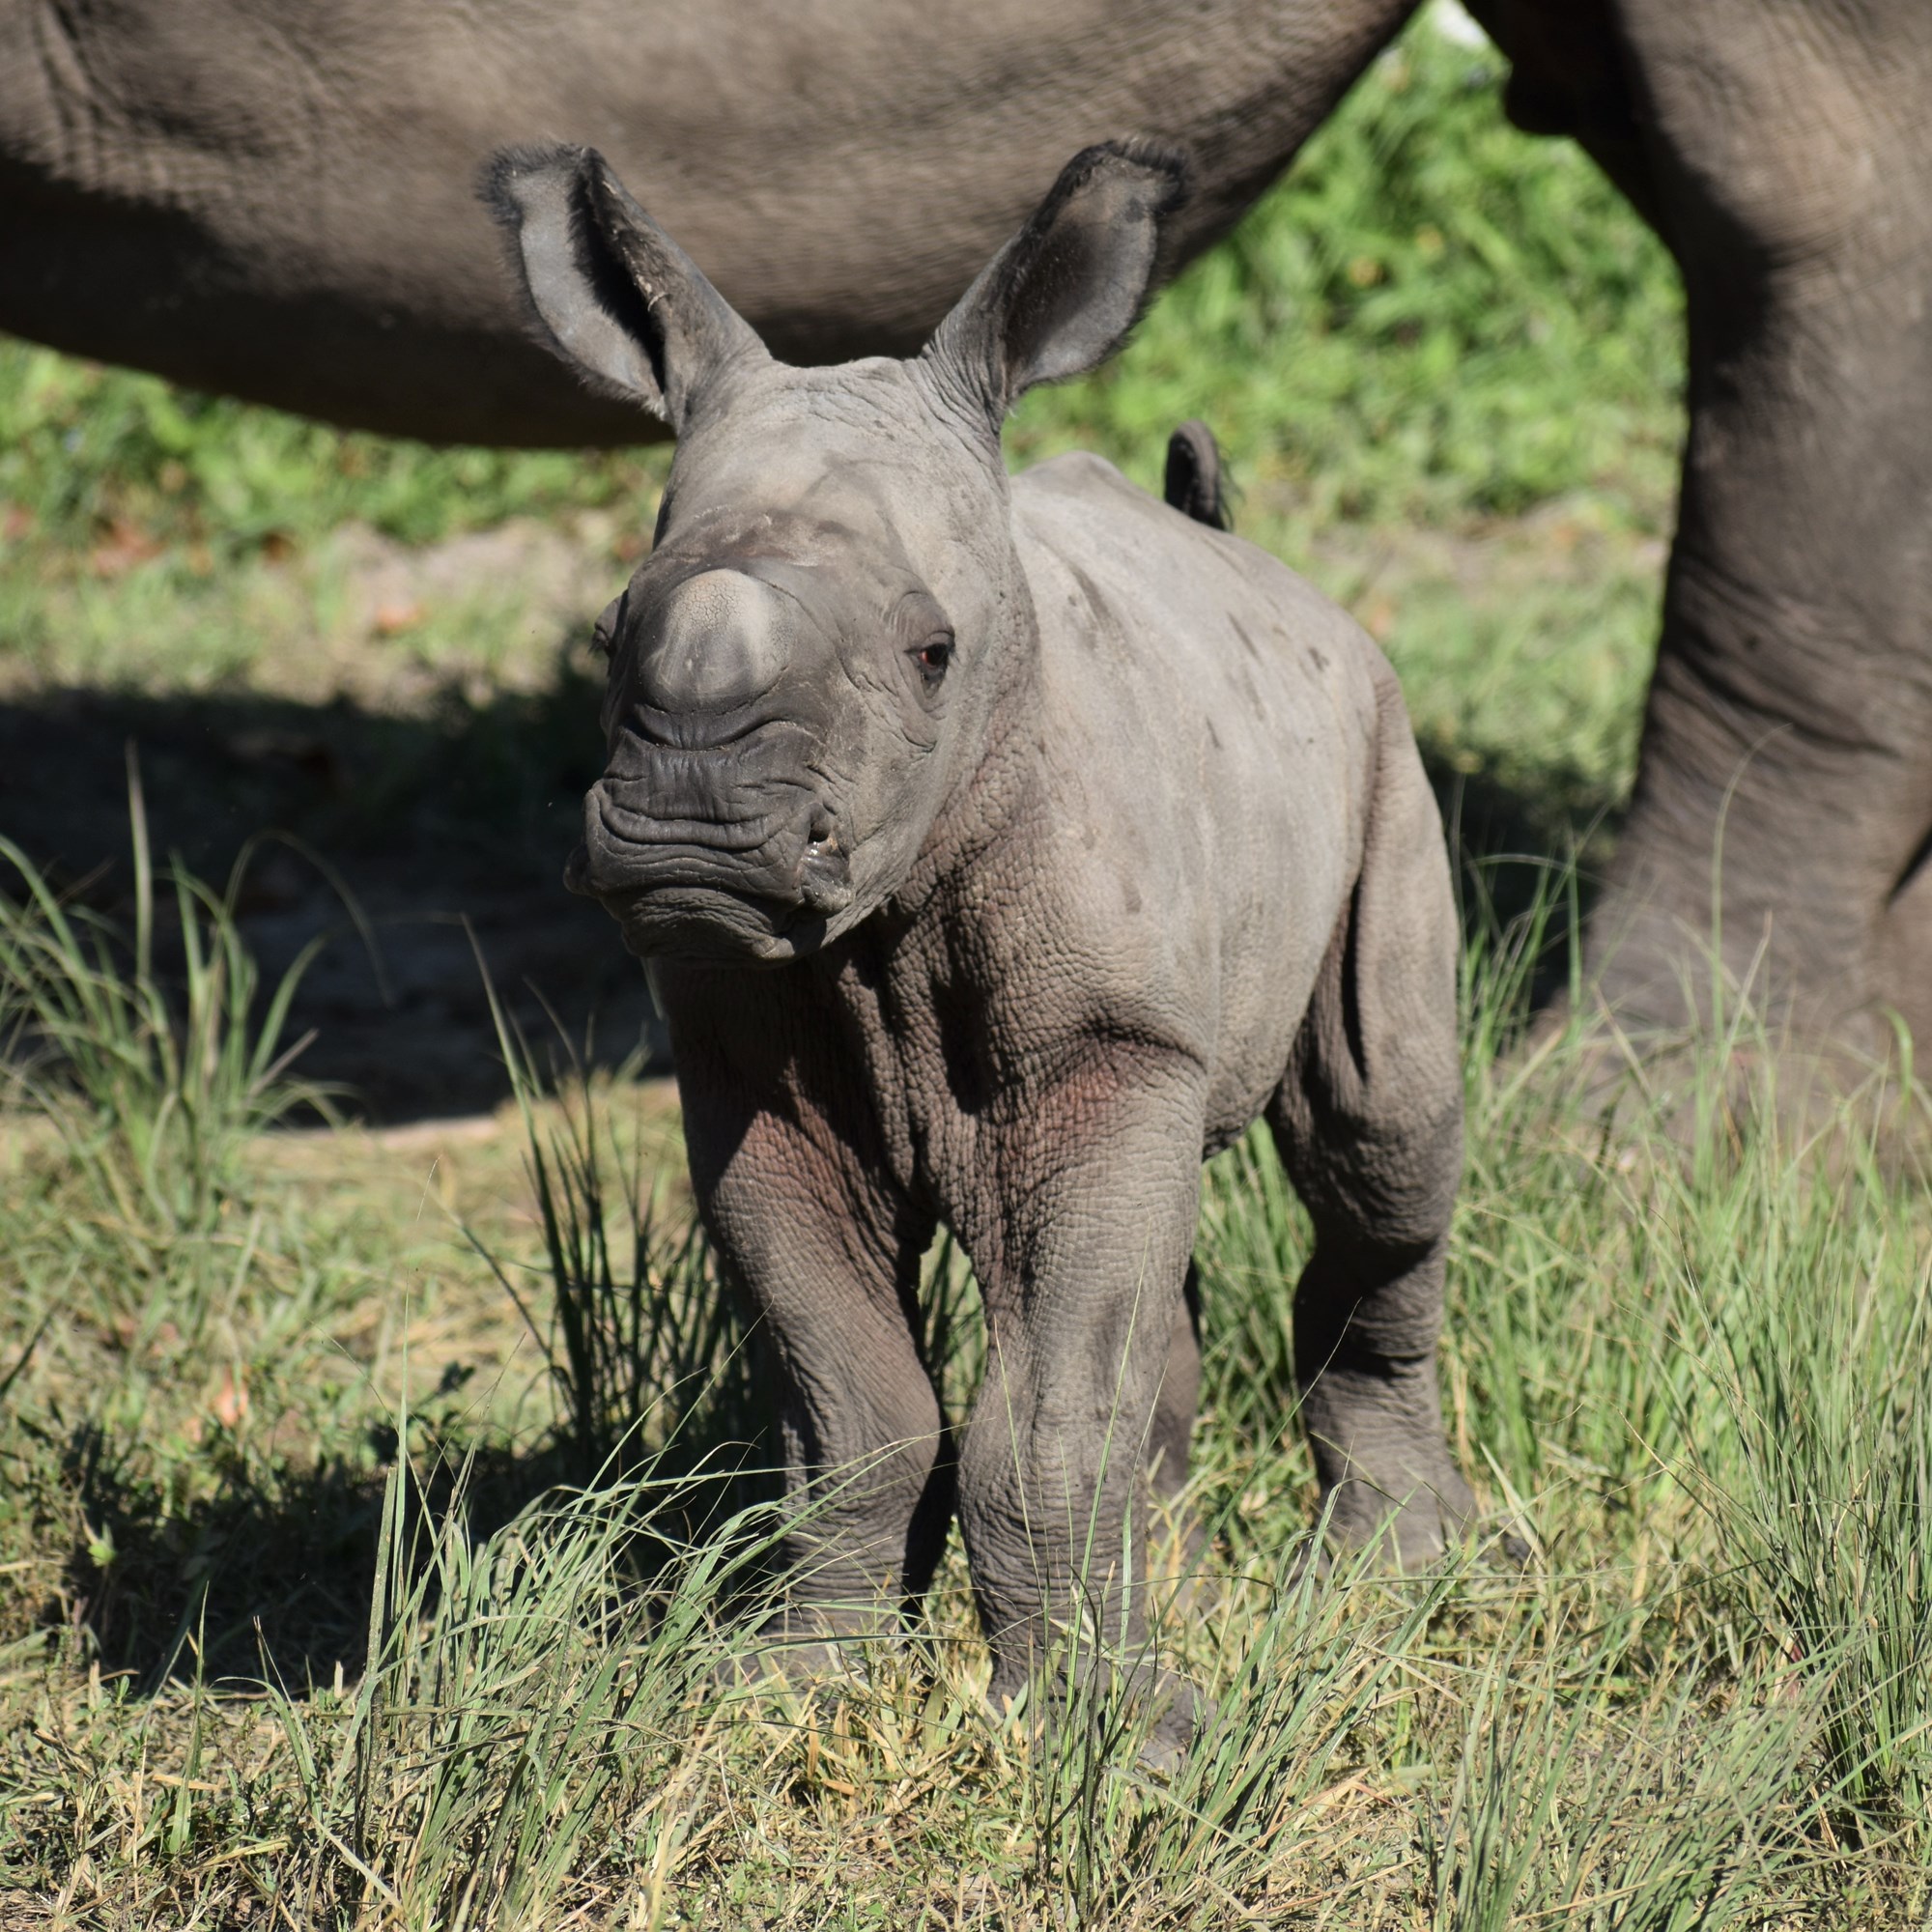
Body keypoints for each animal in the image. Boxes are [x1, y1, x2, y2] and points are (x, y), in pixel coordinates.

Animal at [487, 140, 1475, 1751]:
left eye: (930, 655)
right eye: (605, 631)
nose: (694, 832)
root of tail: (1257, 561)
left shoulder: (1106, 1042)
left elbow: (1048, 1406)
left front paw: (1117, 1741)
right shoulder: (753, 1072)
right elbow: (852, 1395)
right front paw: (797, 1685)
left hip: (1383, 738)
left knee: (1381, 1132)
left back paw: (1401, 1573)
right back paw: (1183, 1569)